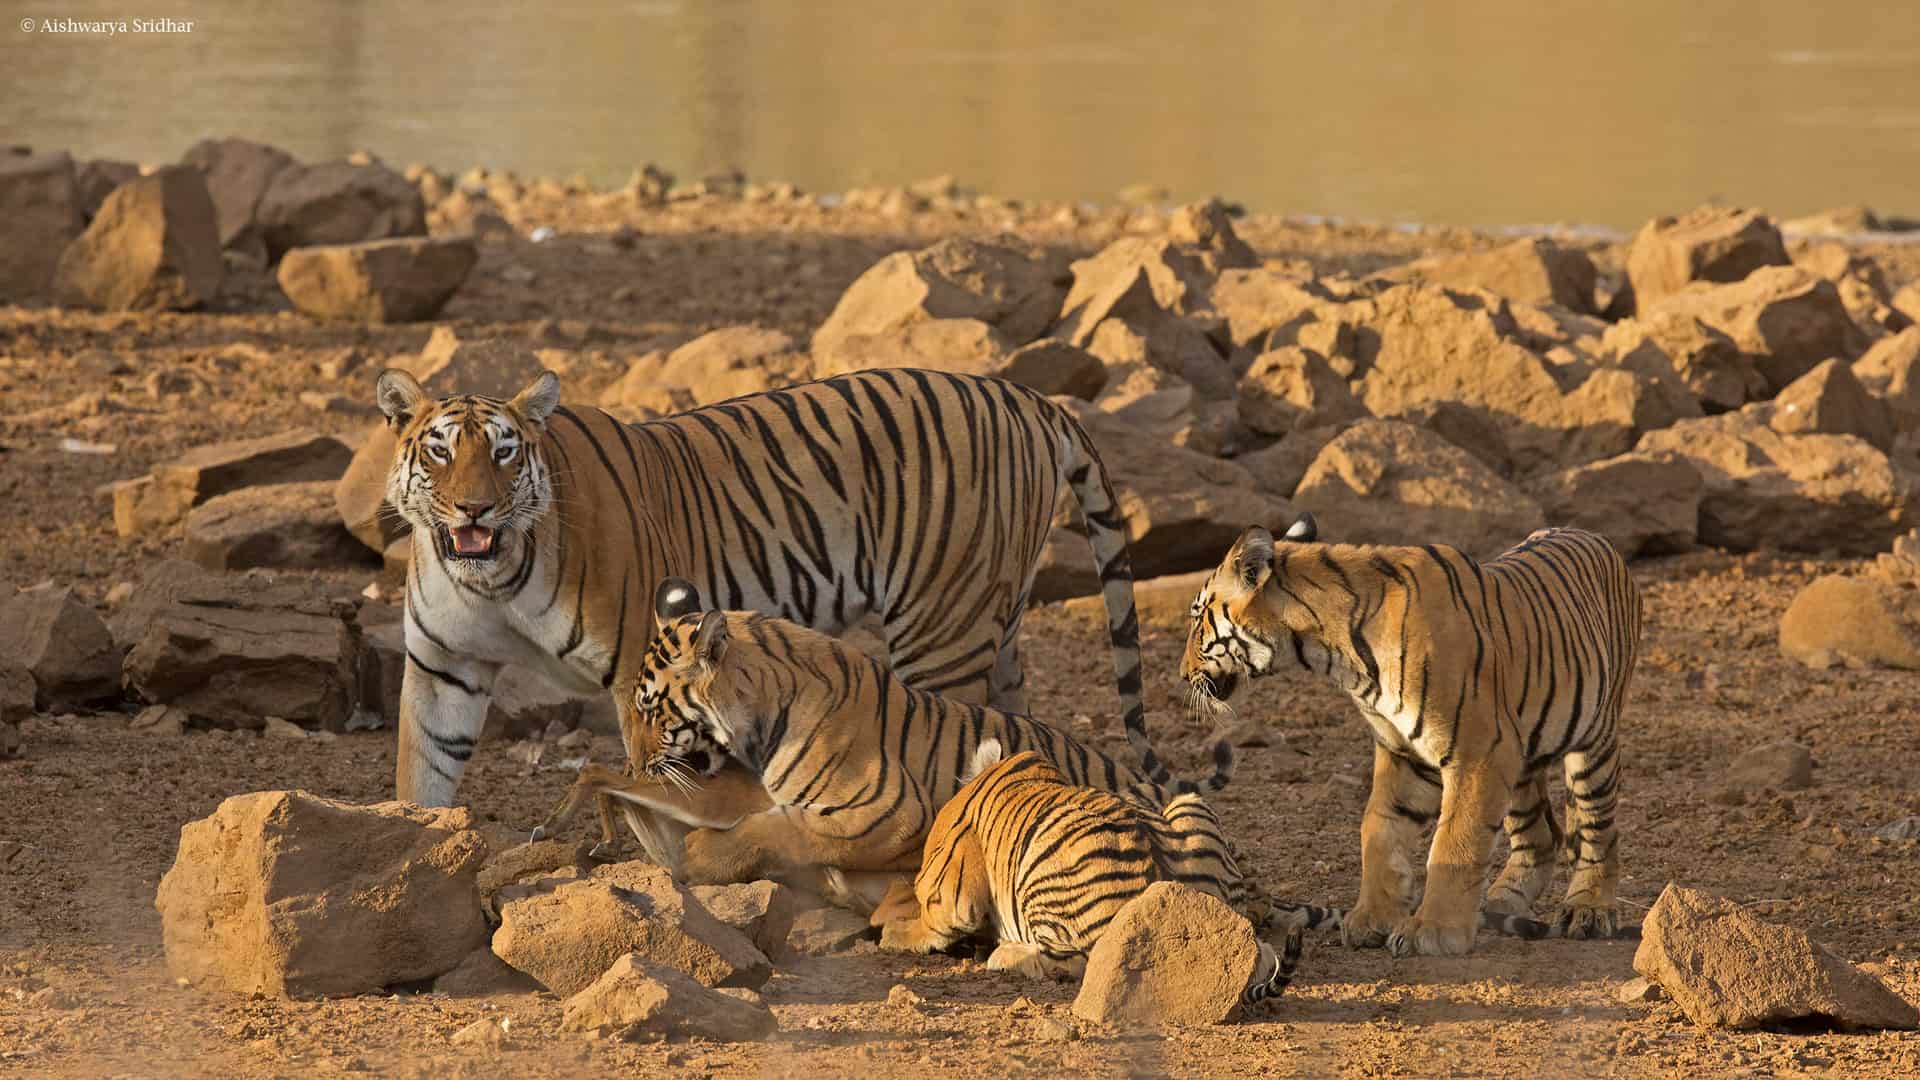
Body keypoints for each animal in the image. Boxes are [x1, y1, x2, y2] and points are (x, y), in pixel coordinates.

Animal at [372, 365, 1154, 826]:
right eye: (440, 451)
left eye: (504, 453)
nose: (474, 508)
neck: (492, 578)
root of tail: (1026, 396)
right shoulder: (444, 667)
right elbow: (423, 769)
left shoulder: (635, 666)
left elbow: (644, 767)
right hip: (999, 620)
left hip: (943, 628)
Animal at [533, 577, 1234, 891]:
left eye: (653, 710)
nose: (645, 759)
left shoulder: (887, 811)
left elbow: (780, 830)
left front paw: (705, 856)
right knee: (602, 780)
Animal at [873, 739, 1302, 1010]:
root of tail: (1162, 882)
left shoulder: (948, 894)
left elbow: (927, 920)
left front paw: (892, 932)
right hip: (1190, 807)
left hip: (1044, 880)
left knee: (1069, 962)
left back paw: (1003, 955)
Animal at [1180, 513, 1641, 957]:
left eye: (1199, 617)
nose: (1183, 675)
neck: (1334, 652)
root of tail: (1592, 535)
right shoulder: (1404, 752)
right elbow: (1379, 829)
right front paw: (1372, 919)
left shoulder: (1479, 752)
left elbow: (1455, 841)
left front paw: (1434, 931)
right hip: (1524, 754)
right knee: (1541, 835)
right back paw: (1499, 904)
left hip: (1592, 741)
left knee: (1599, 827)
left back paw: (1588, 910)